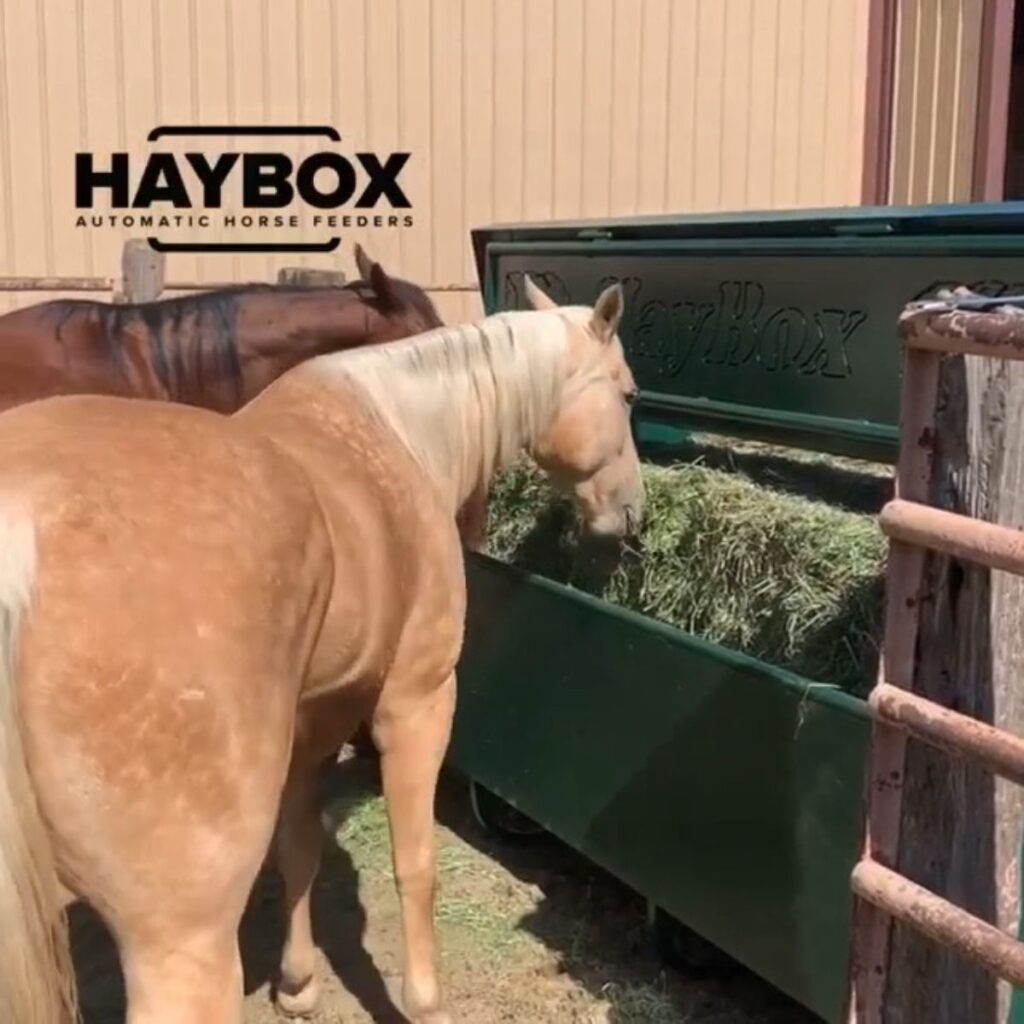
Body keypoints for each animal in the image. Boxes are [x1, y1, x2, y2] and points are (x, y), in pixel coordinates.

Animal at [0, 276, 644, 1024]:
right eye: (629, 395)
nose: (633, 512)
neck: (394, 428)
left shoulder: (309, 728)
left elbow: (300, 850)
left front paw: (298, 982)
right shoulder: (417, 702)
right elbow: (414, 861)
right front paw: (425, 1002)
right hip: (182, 943)